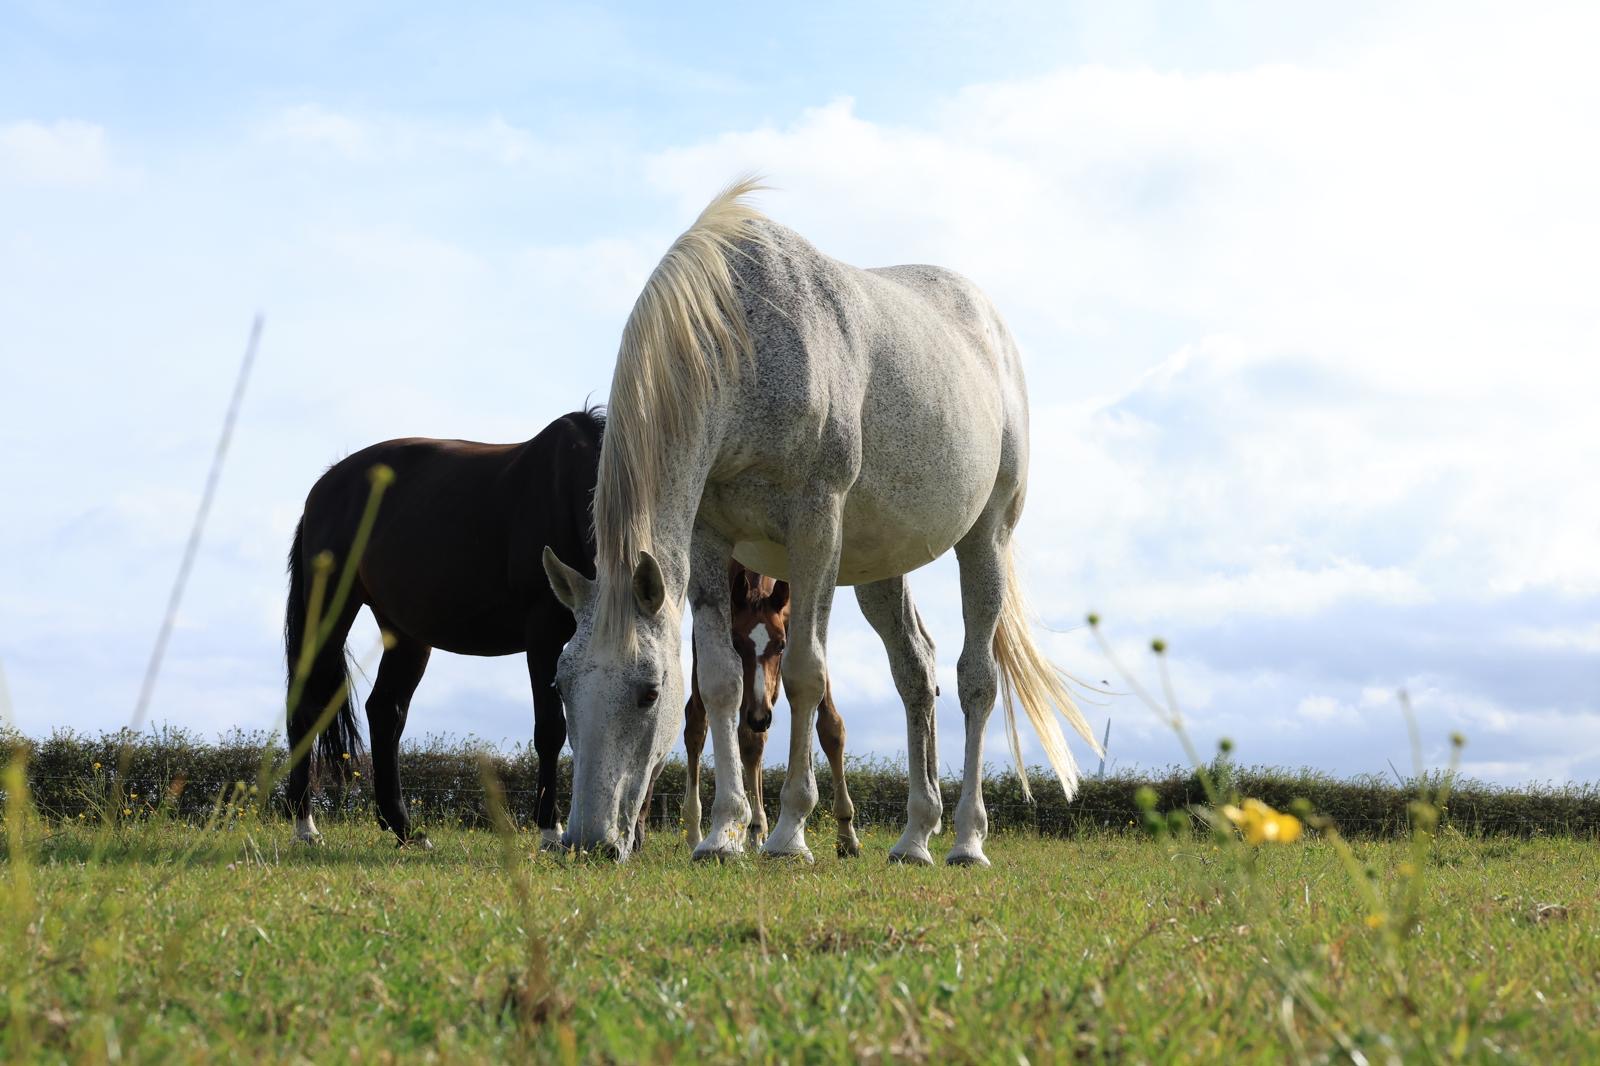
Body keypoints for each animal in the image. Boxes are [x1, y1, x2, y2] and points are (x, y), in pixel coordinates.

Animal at [283, 409, 605, 849]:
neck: (570, 490)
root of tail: (323, 487)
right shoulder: (544, 632)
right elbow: (550, 729)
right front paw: (549, 831)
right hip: (330, 610)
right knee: (306, 706)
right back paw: (306, 826)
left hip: (405, 633)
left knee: (385, 711)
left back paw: (403, 828)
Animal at [680, 562, 860, 857]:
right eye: (736, 642)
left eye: (781, 644)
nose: (759, 716)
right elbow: (746, 741)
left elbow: (831, 730)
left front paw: (847, 836)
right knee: (697, 727)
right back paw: (700, 832)